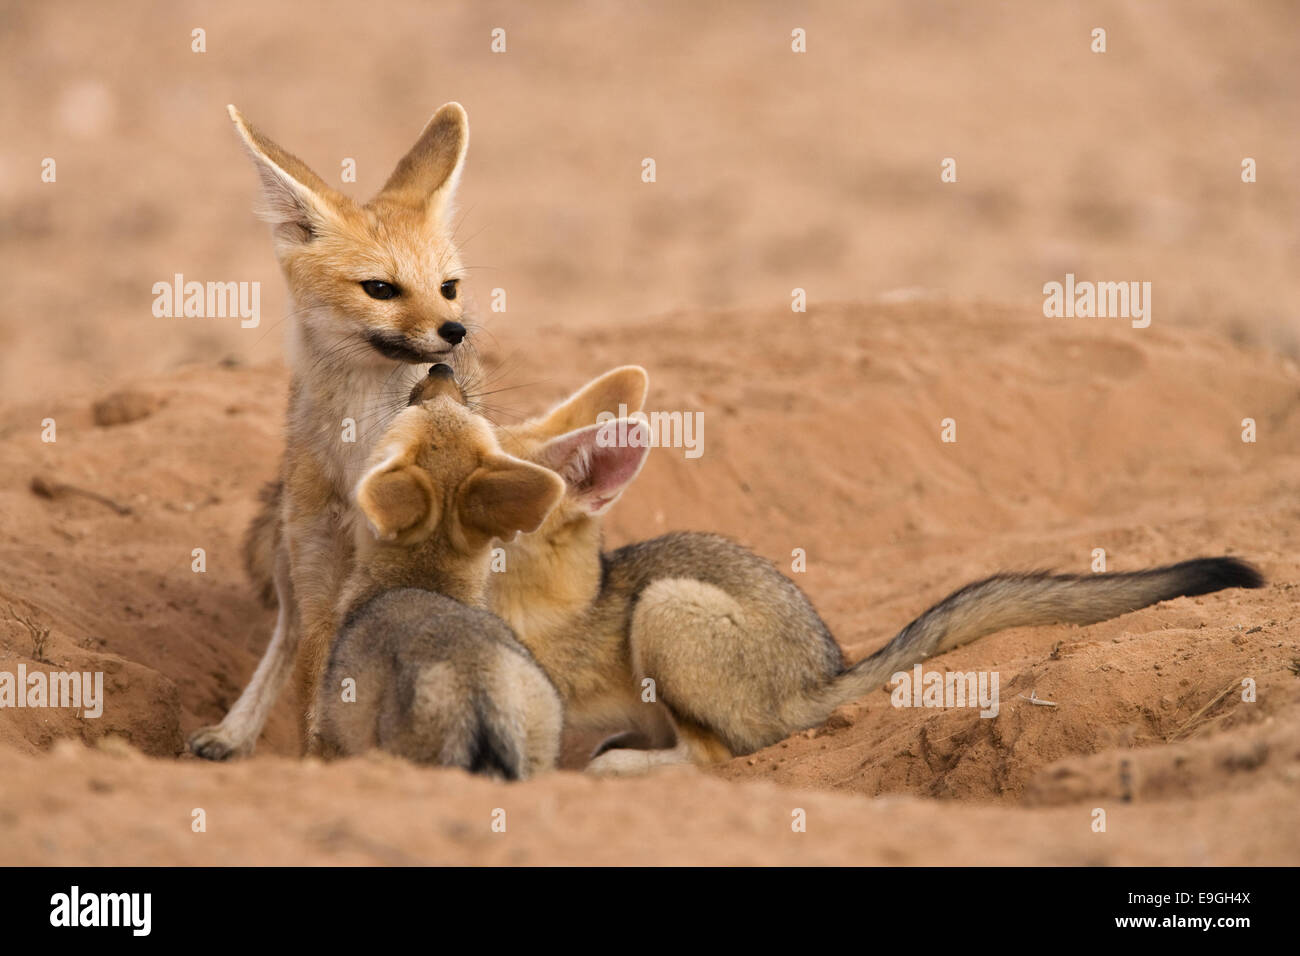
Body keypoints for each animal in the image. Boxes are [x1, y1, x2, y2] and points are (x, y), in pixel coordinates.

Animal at [188, 102, 478, 761]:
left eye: (448, 287)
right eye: (381, 289)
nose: (455, 331)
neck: (359, 447)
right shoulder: (320, 576)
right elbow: (314, 694)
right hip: (290, 563)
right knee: (285, 639)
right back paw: (234, 730)